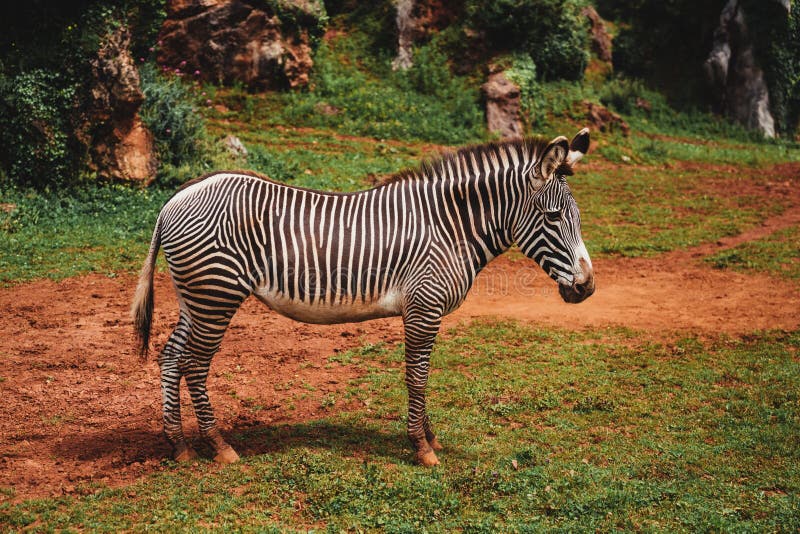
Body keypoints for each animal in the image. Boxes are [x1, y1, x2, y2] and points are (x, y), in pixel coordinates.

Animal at [132, 128, 595, 467]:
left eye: (576, 216)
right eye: (554, 217)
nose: (587, 287)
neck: (450, 227)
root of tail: (175, 198)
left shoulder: (423, 312)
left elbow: (422, 374)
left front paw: (430, 438)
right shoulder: (423, 308)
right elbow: (417, 375)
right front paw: (422, 448)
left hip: (196, 299)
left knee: (172, 357)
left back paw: (179, 445)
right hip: (216, 295)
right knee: (194, 364)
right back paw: (219, 446)